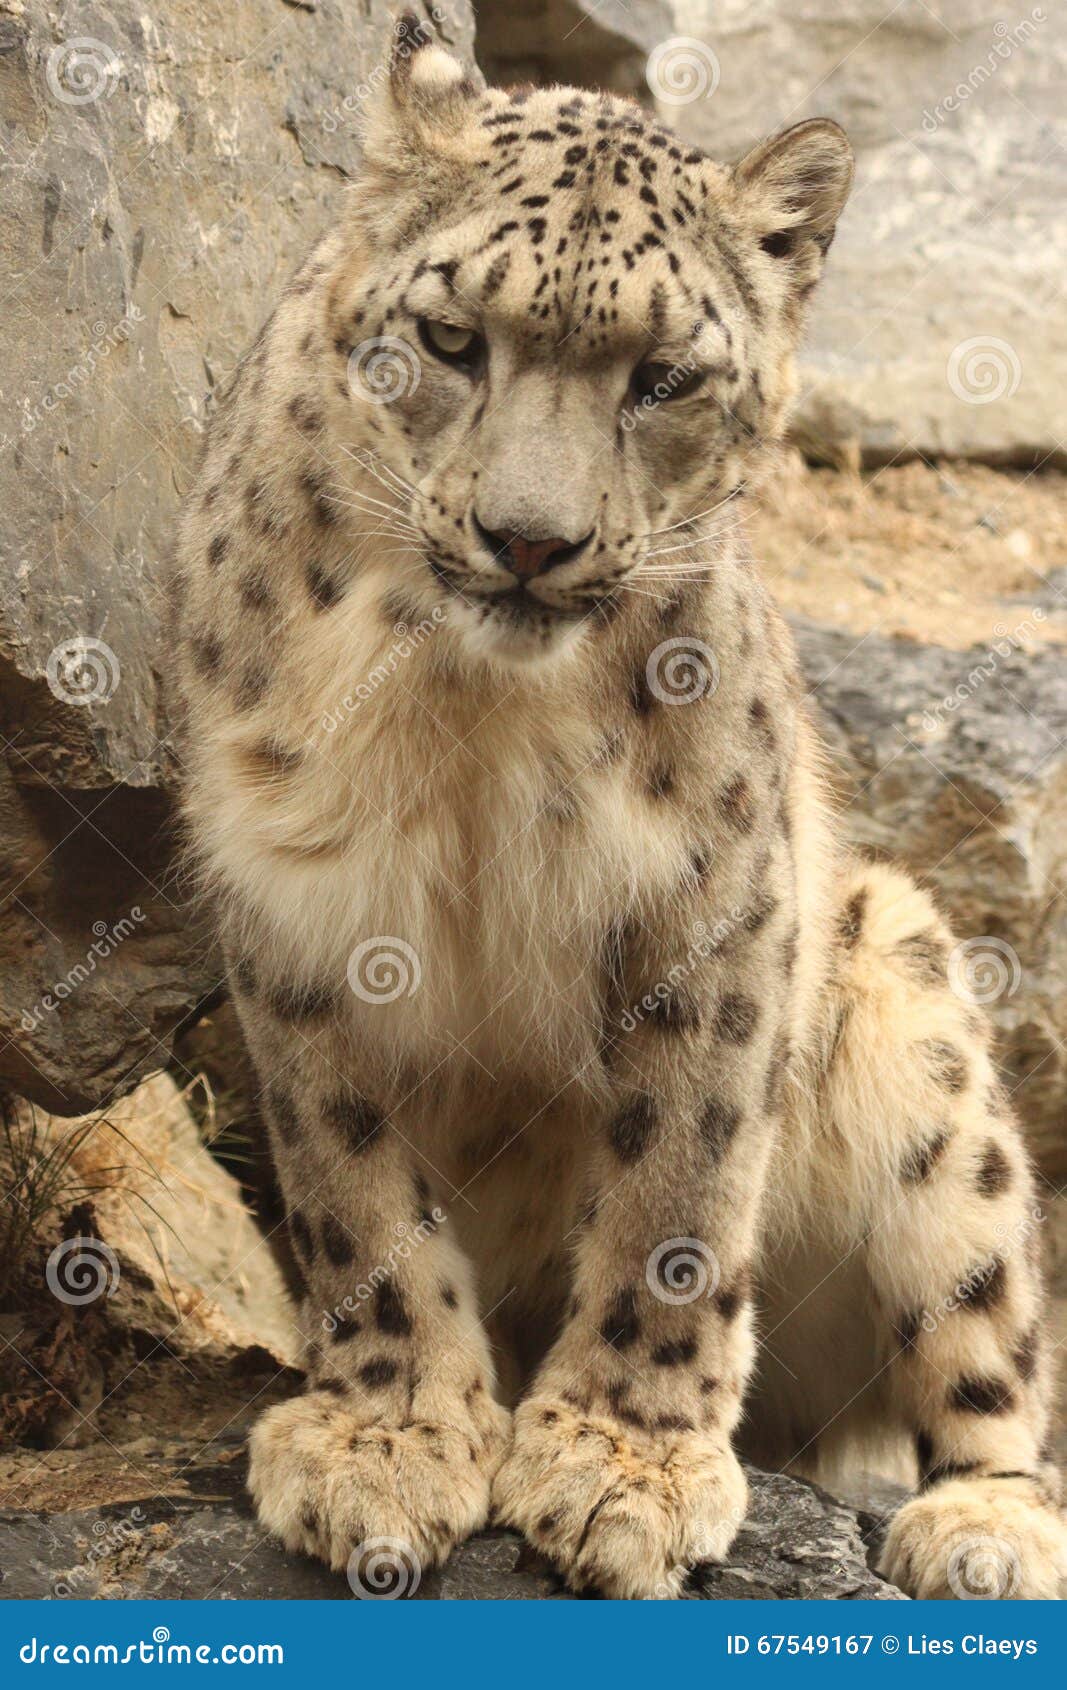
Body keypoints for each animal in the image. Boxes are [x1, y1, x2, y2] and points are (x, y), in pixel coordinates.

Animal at [167, 13, 1067, 1599]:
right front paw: (386, 1435)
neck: (466, 719)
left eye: (661, 377)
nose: (528, 540)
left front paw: (618, 1461)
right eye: (450, 339)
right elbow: (352, 1189)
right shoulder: (296, 902)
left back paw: (981, 1525)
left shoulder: (708, 903)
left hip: (915, 1025)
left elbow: (677, 1198)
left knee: (990, 1335)